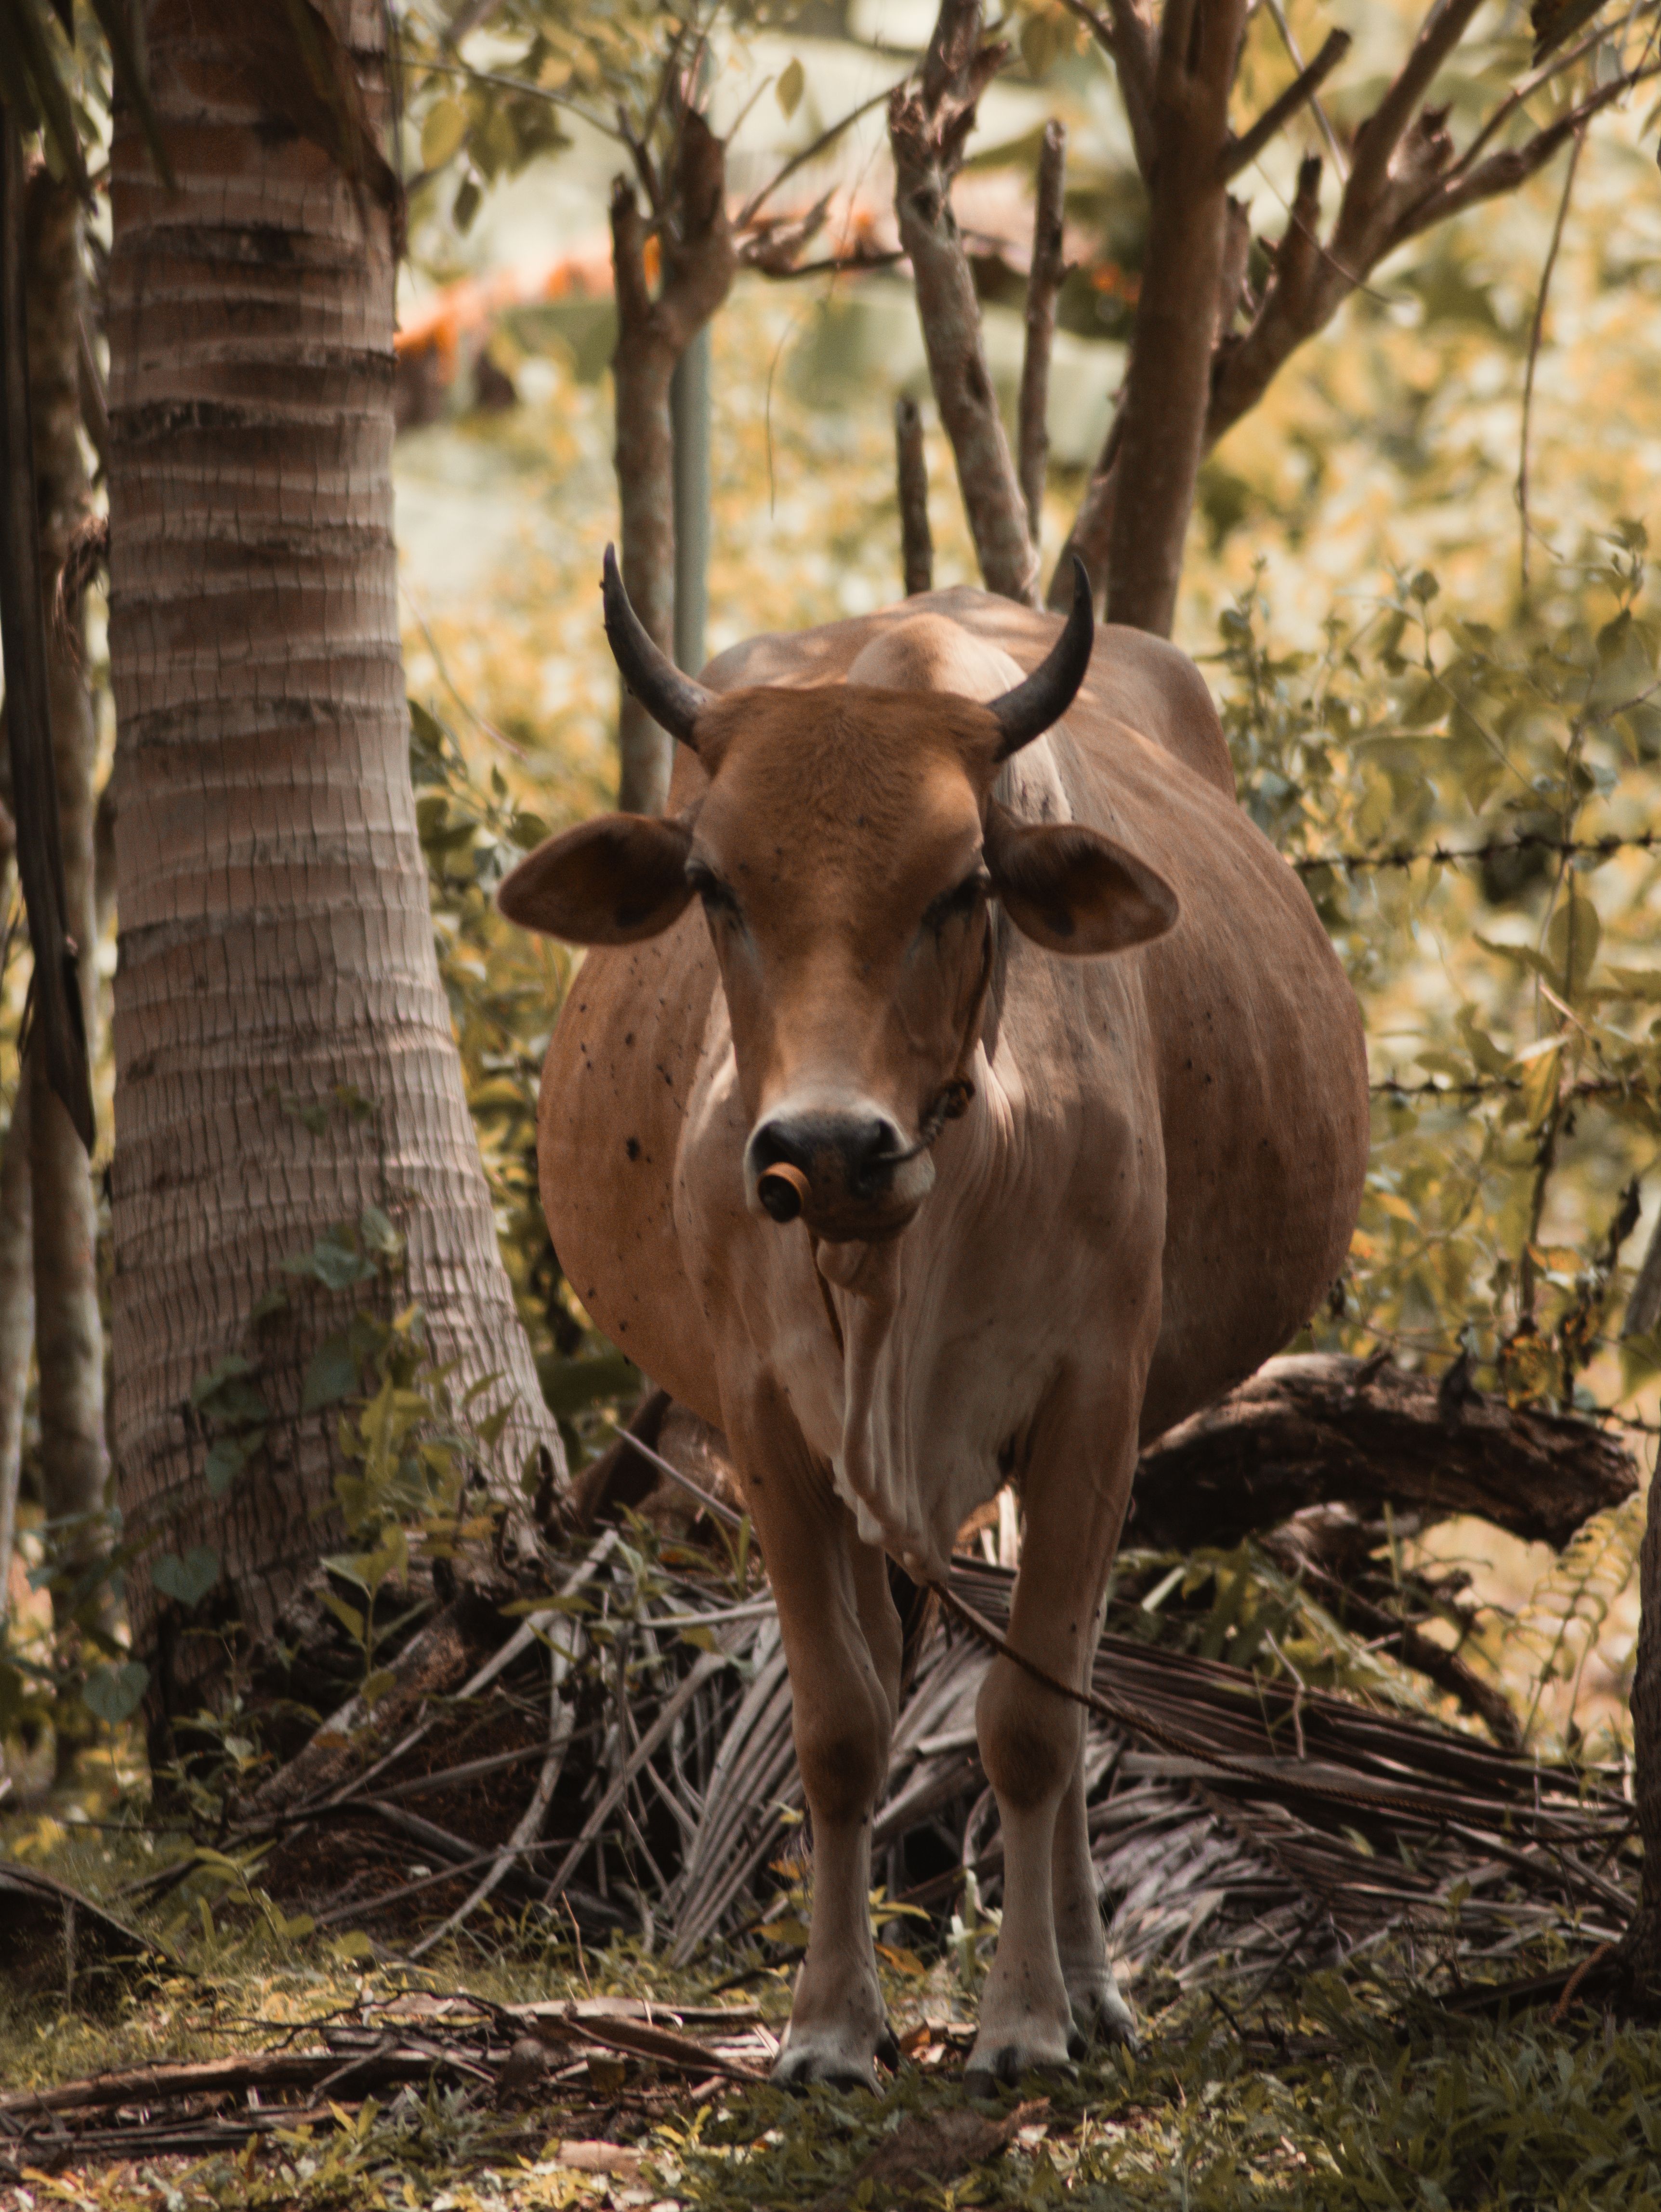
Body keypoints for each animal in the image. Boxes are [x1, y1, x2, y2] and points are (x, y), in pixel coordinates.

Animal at [498, 550, 1369, 2090]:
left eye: (964, 885)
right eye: (715, 884)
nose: (825, 1147)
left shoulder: (1089, 1412)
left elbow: (1031, 1725)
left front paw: (1025, 2019)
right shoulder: (771, 1433)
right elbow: (842, 1729)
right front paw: (831, 2028)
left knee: (1067, 1683)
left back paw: (1089, 1990)